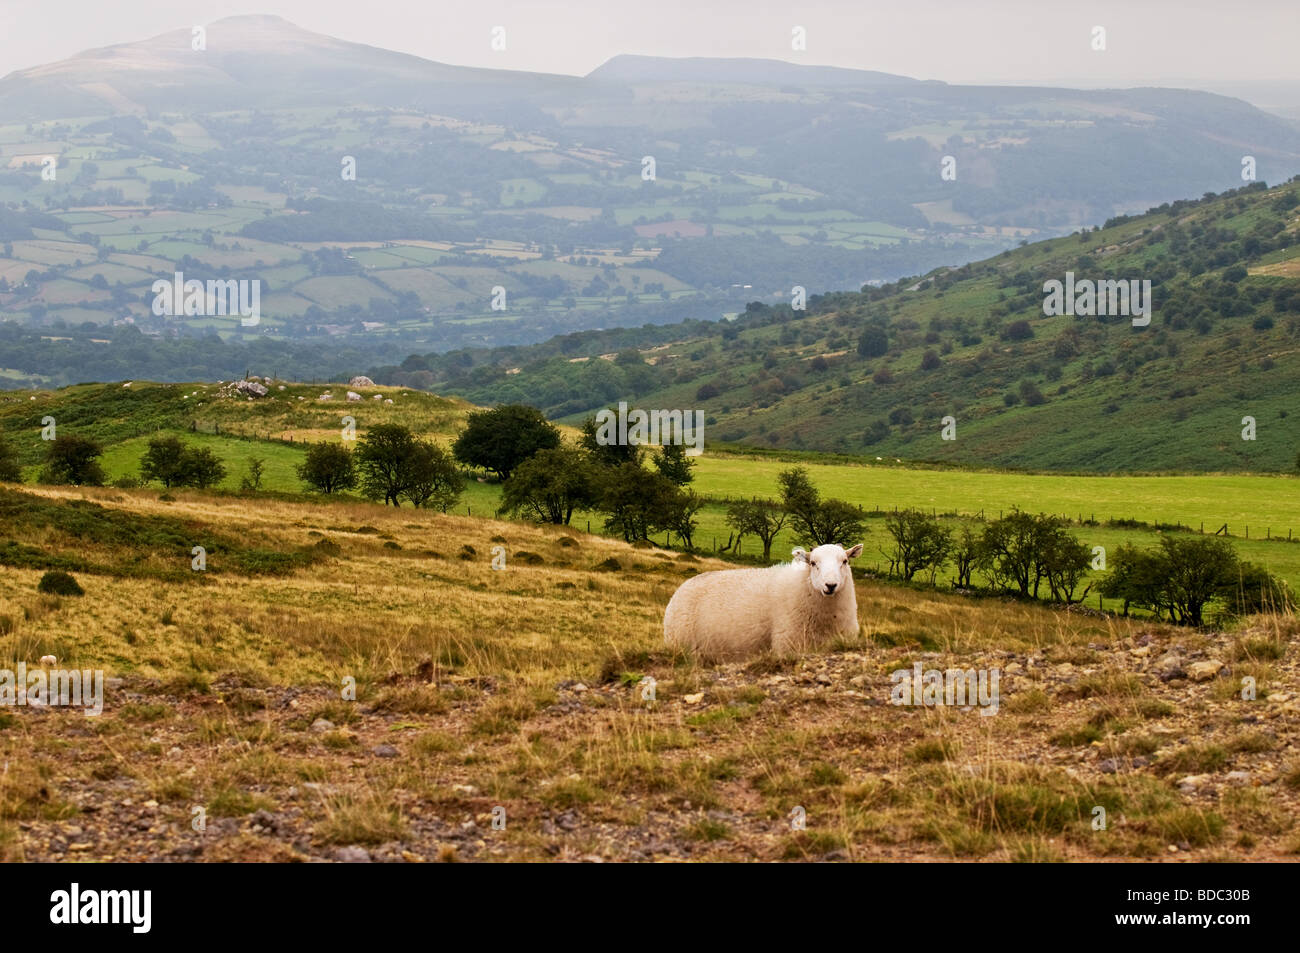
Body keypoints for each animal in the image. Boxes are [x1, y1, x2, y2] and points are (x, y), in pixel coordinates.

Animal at [664, 543, 863, 660]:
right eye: (813, 563)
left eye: (845, 561)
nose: (831, 585)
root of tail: (678, 591)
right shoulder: (787, 644)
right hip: (681, 643)